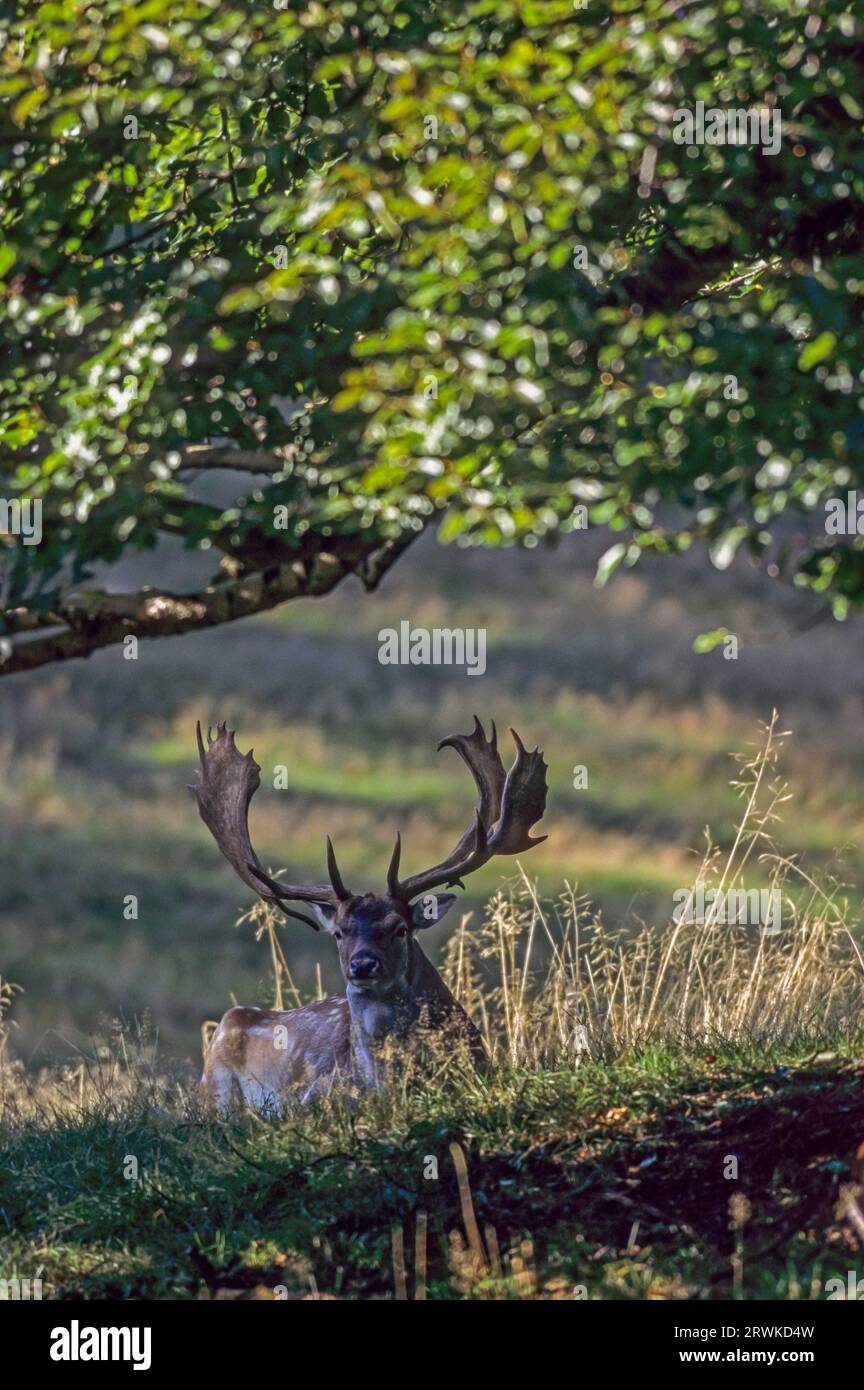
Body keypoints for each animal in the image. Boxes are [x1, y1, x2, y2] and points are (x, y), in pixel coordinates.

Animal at [192, 717, 548, 1112]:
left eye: (400, 928)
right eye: (339, 932)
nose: (363, 964)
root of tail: (231, 1018)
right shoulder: (313, 1094)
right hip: (214, 1086)